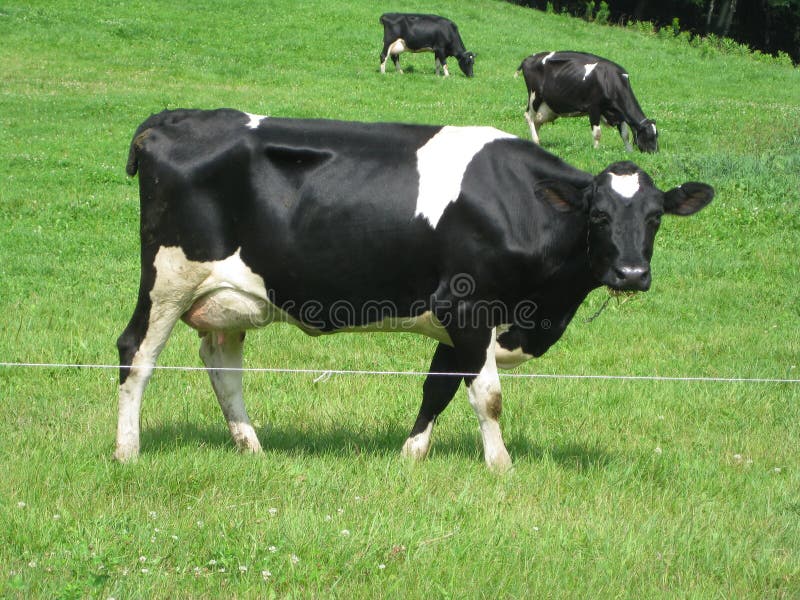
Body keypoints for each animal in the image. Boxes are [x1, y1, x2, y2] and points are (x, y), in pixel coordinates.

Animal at [115, 108, 713, 470]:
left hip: (228, 296)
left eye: (655, 217)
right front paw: (501, 466)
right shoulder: (469, 306)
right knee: (135, 353)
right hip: (169, 277)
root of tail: (168, 121)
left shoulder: (456, 322)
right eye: (597, 215)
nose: (631, 274)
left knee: (221, 362)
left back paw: (251, 445)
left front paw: (412, 455)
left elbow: (438, 388)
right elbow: (488, 396)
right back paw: (127, 452)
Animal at [515, 51, 659, 153]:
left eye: (657, 135)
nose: (655, 153)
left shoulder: (618, 112)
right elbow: (597, 133)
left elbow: (625, 134)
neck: (611, 81)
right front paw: (596, 151)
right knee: (529, 117)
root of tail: (528, 58)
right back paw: (536, 140)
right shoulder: (594, 107)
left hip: (547, 107)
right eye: (649, 136)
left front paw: (629, 152)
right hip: (534, 96)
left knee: (537, 121)